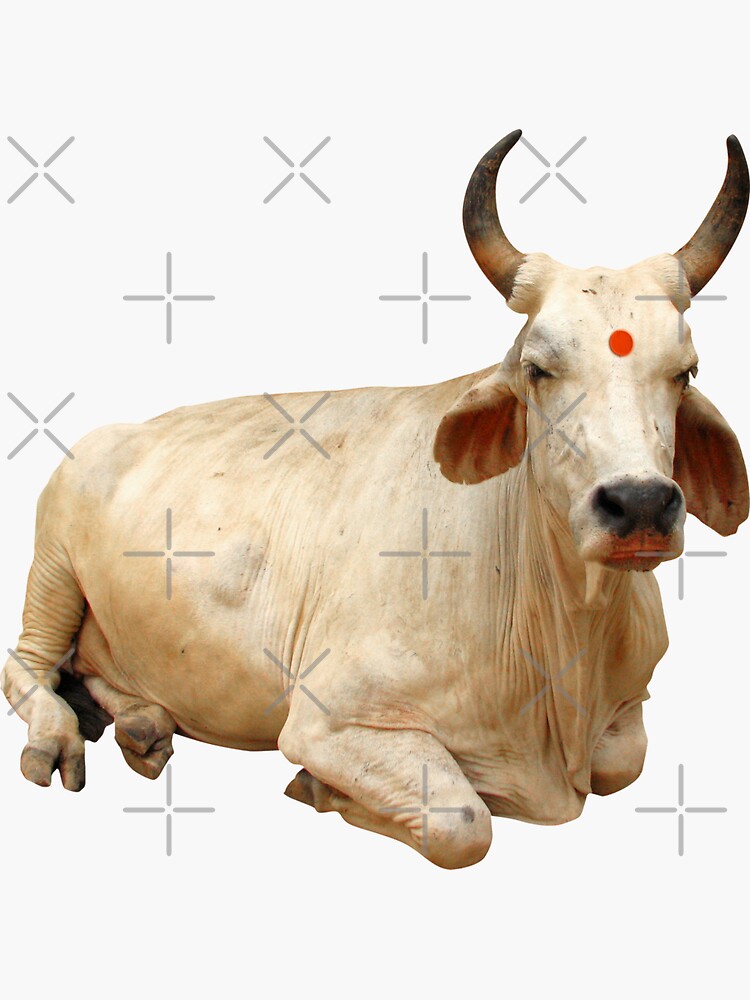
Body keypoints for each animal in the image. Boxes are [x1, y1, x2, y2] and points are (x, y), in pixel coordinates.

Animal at [3, 131, 748, 869]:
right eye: (538, 369)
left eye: (686, 372)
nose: (640, 505)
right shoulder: (326, 718)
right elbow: (463, 824)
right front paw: (317, 787)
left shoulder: (630, 703)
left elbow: (624, 760)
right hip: (52, 567)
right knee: (27, 666)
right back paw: (62, 737)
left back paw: (142, 724)